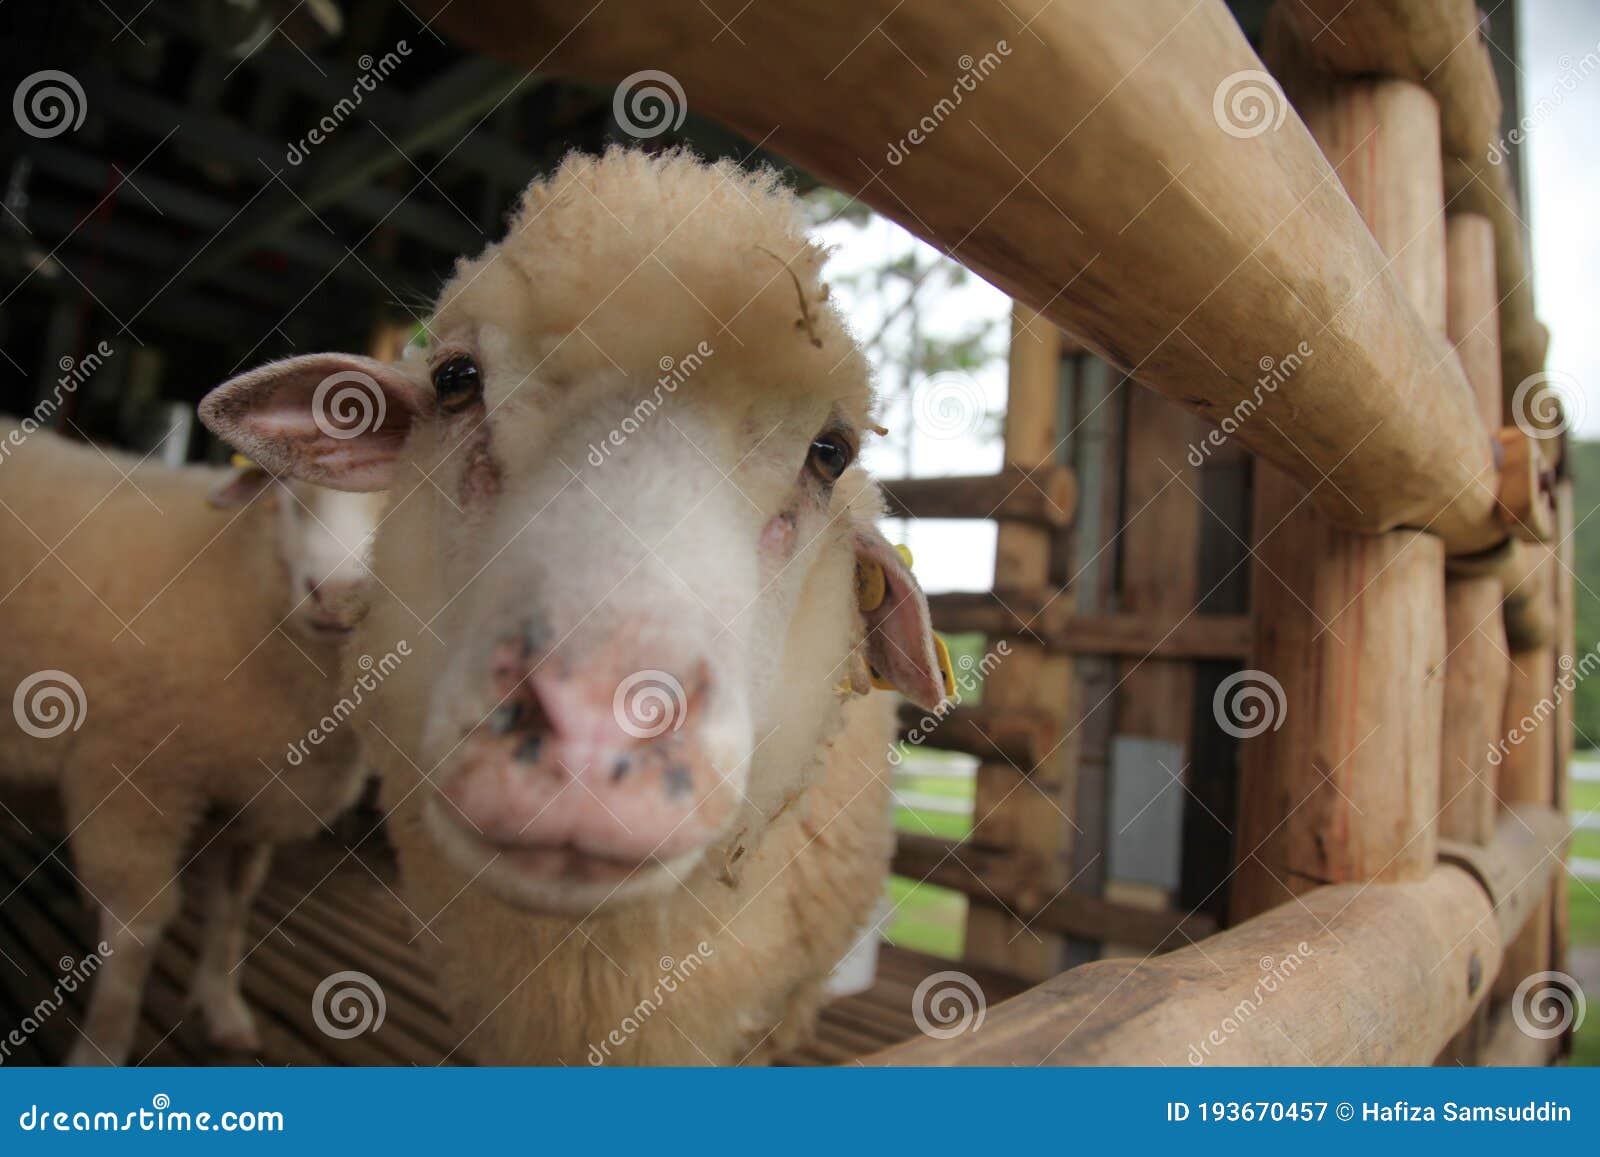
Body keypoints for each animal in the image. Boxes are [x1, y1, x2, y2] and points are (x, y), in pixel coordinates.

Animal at [0, 421, 384, 1065]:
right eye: (290, 495)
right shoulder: (134, 779)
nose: (335, 597)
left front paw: (223, 1008)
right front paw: (101, 1050)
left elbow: (230, 913)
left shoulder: (245, 804)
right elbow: (136, 931)